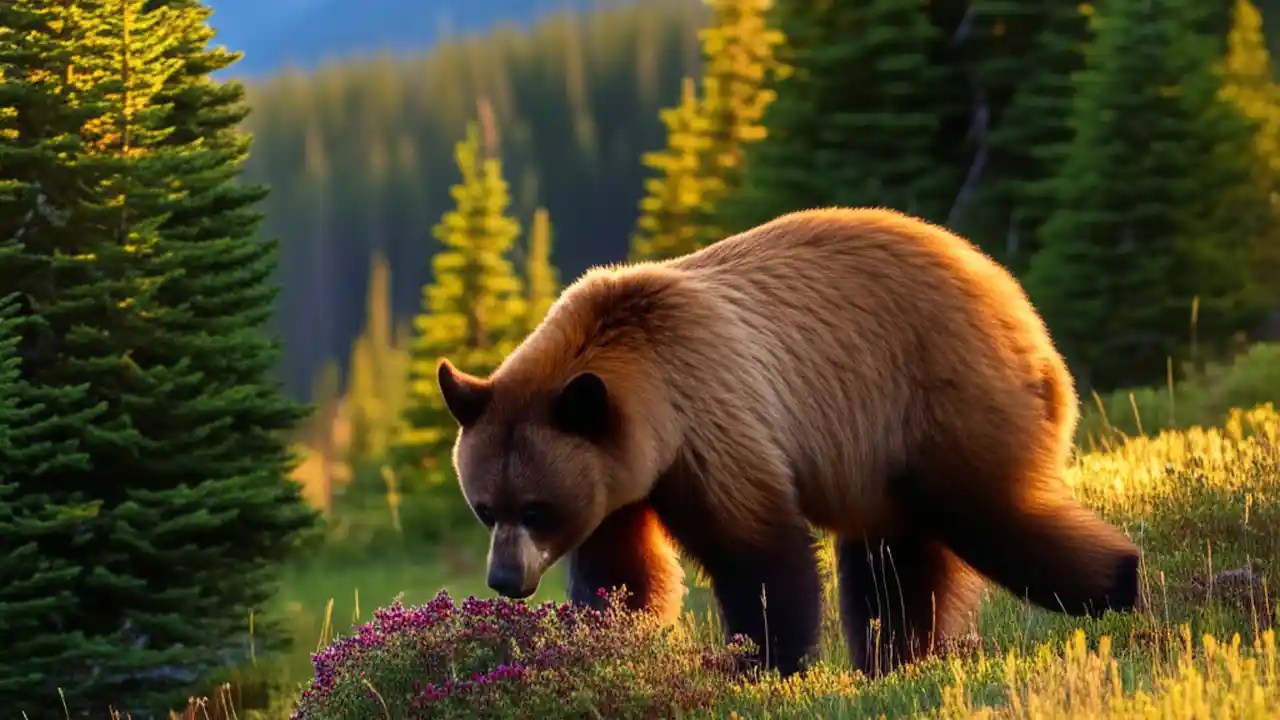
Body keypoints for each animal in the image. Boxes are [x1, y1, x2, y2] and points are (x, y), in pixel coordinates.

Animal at [435, 207, 1141, 679]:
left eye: (536, 508)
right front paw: (609, 643)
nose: (504, 579)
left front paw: (764, 665)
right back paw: (896, 658)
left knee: (998, 520)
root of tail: (1015, 297)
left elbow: (759, 554)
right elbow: (622, 576)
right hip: (883, 464)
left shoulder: (714, 419)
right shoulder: (617, 479)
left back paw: (1124, 591)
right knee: (895, 565)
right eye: (485, 507)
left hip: (948, 404)